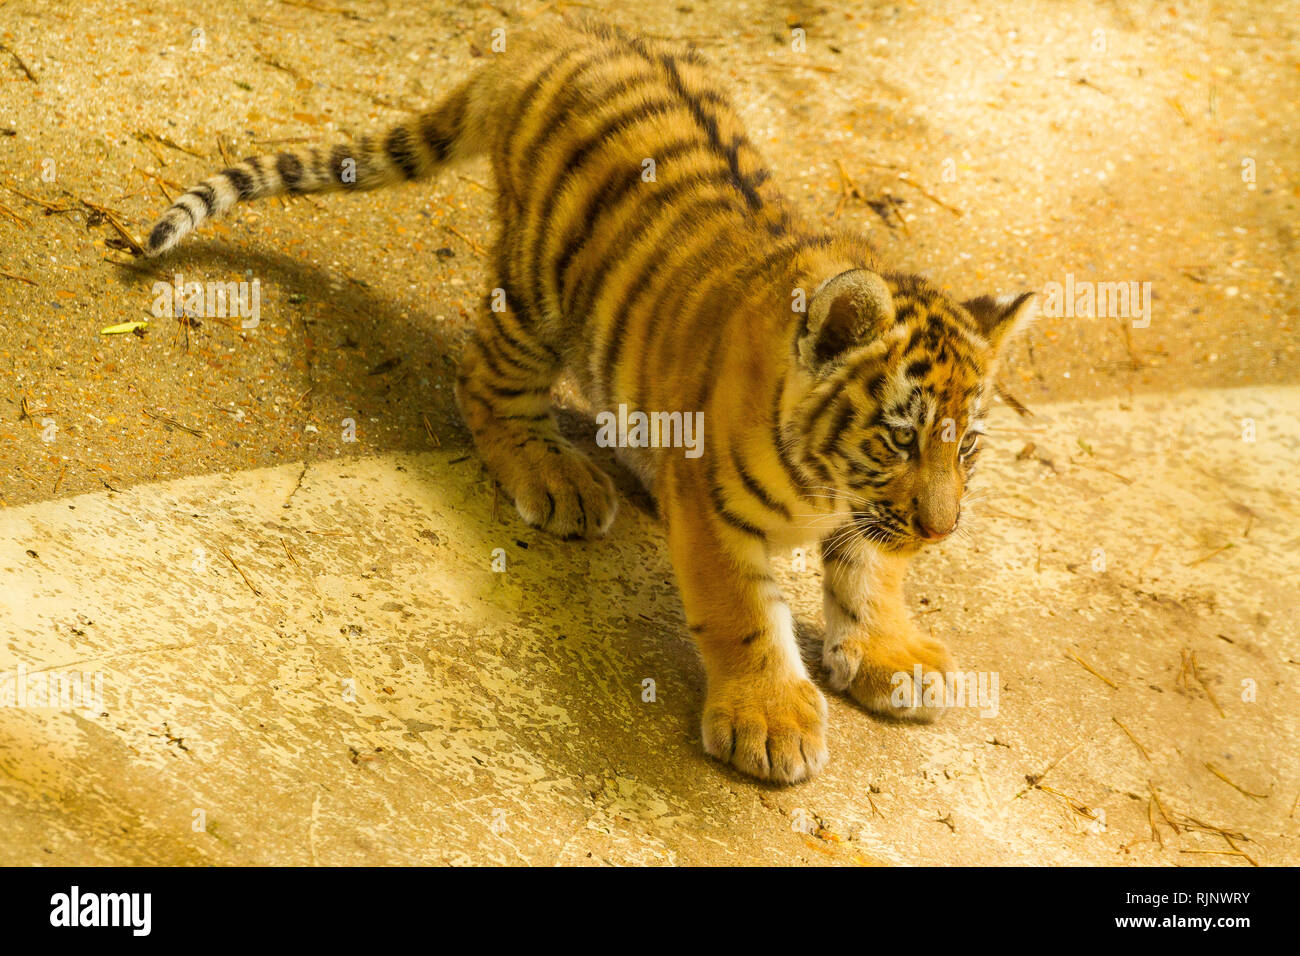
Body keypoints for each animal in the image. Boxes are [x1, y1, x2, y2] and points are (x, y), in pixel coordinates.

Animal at [142, 18, 1035, 784]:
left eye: (967, 446)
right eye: (898, 438)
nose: (942, 531)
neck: (826, 485)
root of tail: (557, 35)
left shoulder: (863, 513)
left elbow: (872, 575)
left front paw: (890, 657)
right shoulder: (719, 511)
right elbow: (745, 614)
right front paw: (770, 720)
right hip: (540, 289)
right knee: (485, 384)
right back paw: (558, 477)